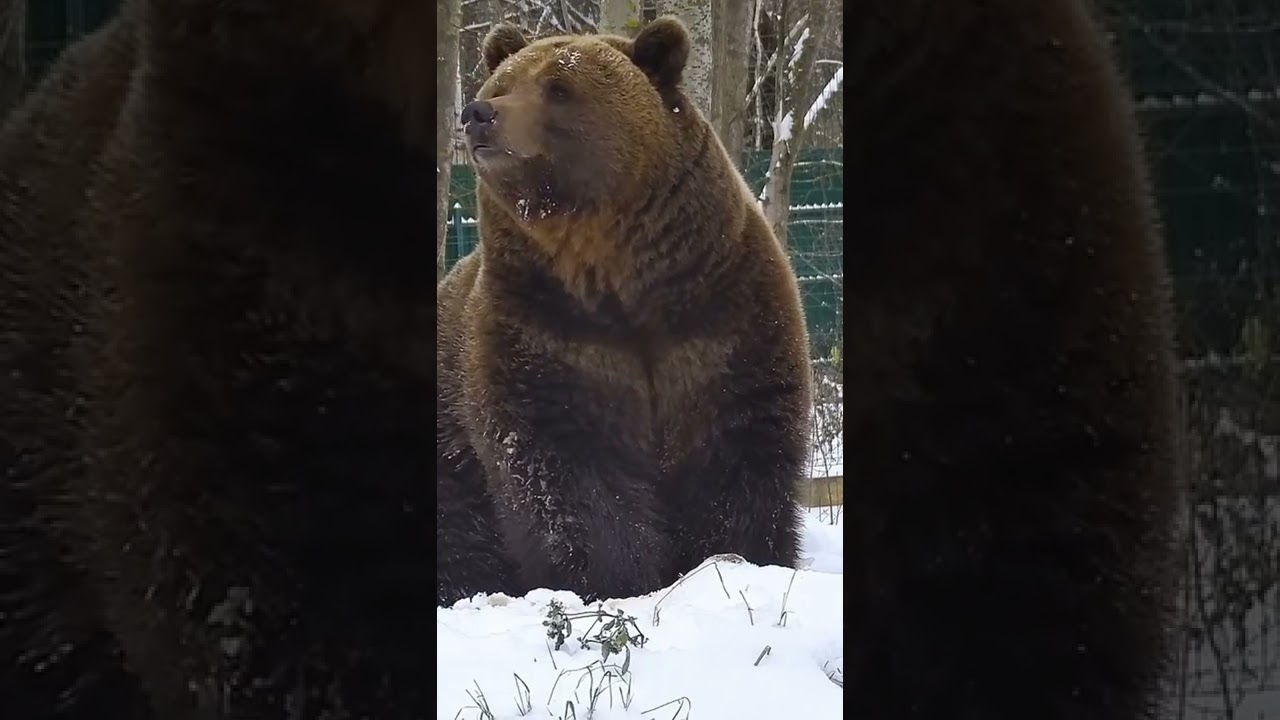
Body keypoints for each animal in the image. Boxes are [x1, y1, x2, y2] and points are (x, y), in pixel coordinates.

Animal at [435, 17, 814, 605]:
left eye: (558, 88)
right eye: (502, 83)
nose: (479, 113)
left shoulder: (721, 318)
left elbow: (736, 454)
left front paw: (735, 561)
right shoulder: (548, 328)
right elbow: (571, 471)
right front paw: (615, 581)